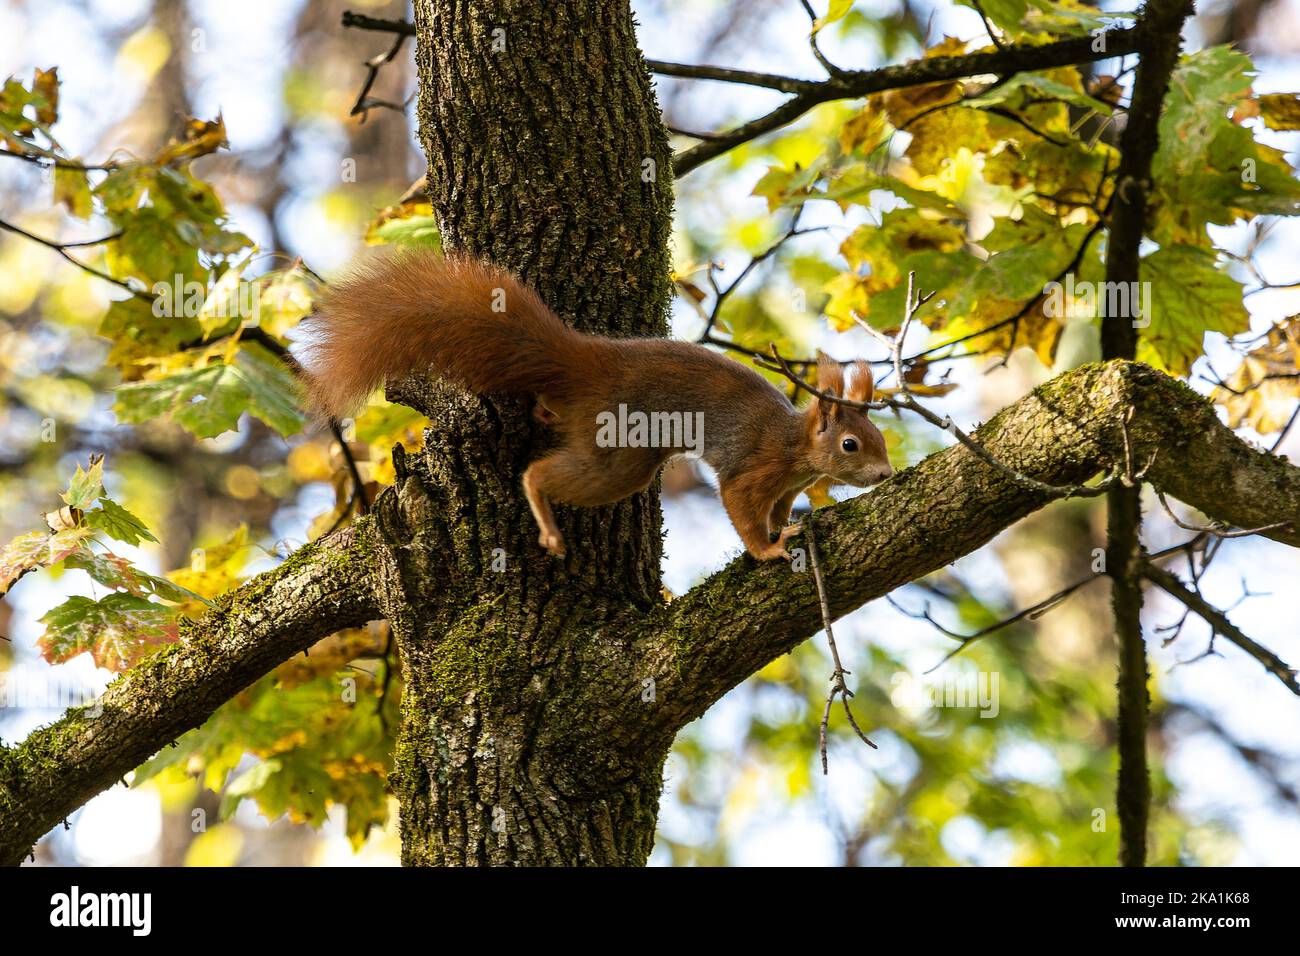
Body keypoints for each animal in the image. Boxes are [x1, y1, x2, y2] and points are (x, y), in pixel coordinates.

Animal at [304, 249, 893, 560]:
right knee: (541, 474)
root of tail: (589, 362)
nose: (886, 474)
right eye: (851, 444)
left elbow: (776, 510)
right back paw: (545, 519)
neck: (796, 447)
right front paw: (768, 549)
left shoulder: (785, 487)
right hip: (620, 455)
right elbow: (743, 507)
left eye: (880, 439)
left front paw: (781, 529)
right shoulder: (755, 469)